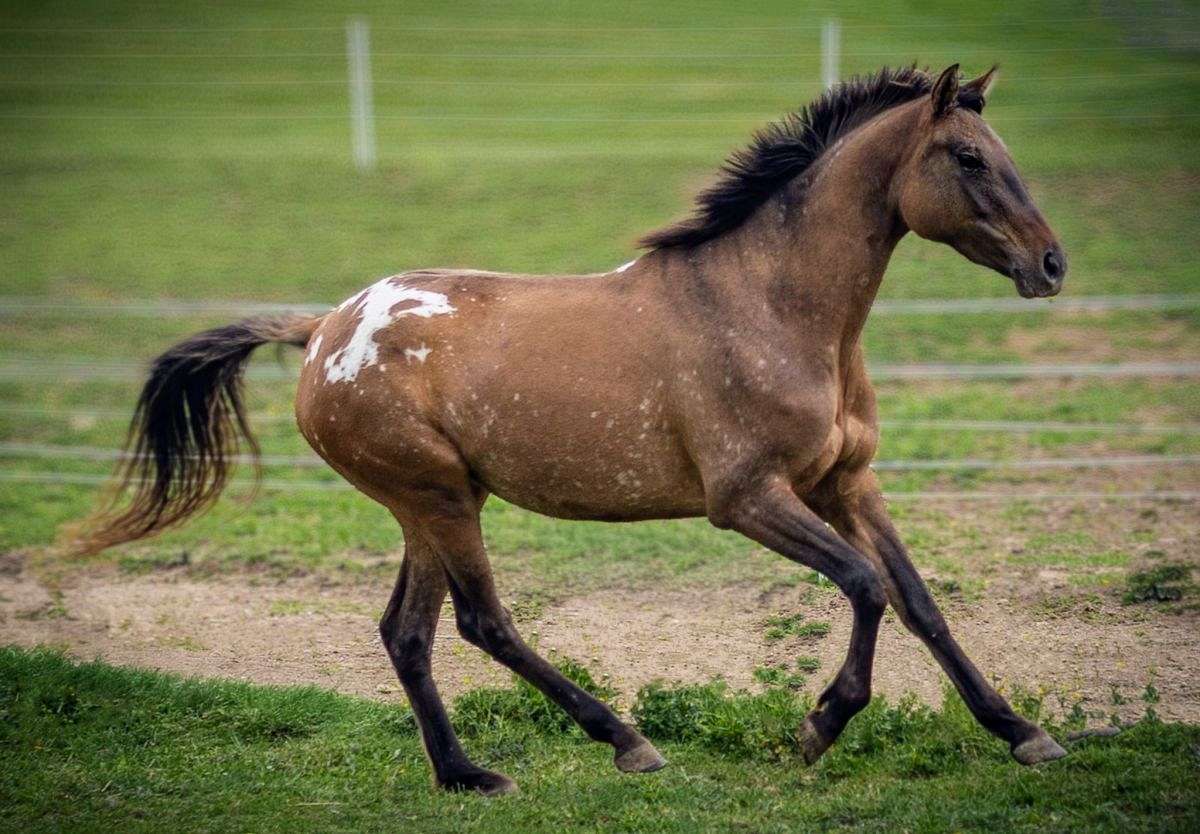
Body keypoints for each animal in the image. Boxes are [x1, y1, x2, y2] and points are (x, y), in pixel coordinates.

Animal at [72, 64, 1069, 795]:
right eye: (967, 157)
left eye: (1003, 150)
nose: (1052, 264)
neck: (772, 307)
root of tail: (323, 330)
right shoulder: (748, 498)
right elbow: (864, 586)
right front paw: (819, 726)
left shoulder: (847, 482)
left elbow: (919, 601)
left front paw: (1022, 732)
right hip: (438, 497)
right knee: (482, 622)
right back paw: (623, 741)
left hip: (432, 504)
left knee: (407, 633)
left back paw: (467, 775)